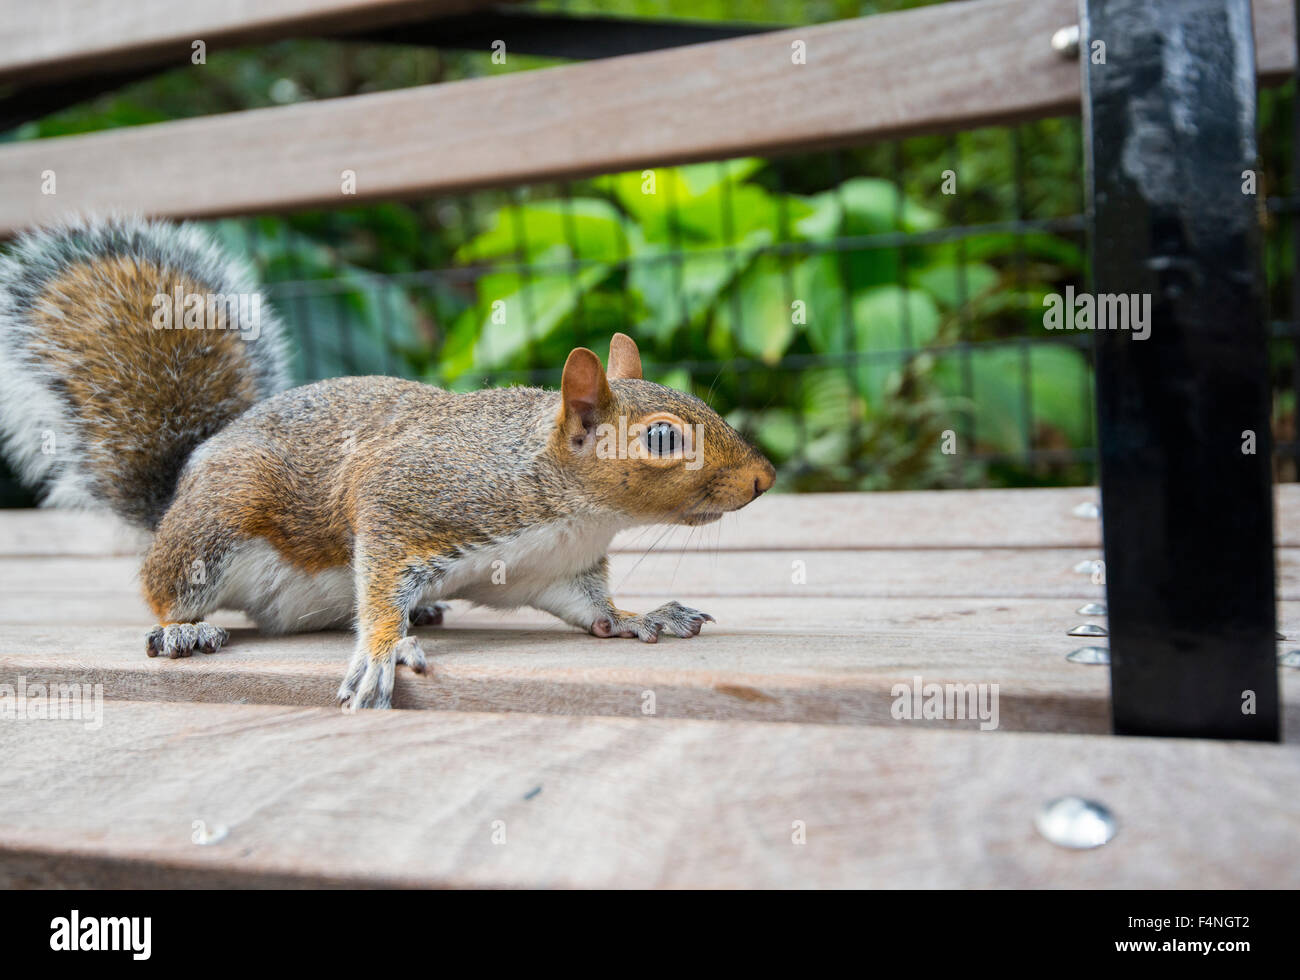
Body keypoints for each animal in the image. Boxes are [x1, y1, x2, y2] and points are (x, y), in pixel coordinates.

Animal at [0, 217, 775, 709]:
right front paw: (381, 652)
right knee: (163, 585)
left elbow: (590, 609)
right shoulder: (409, 499)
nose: (764, 479)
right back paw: (184, 627)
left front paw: (641, 616)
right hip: (214, 528)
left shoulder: (552, 569)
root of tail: (182, 480)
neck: (574, 509)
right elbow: (378, 577)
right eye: (664, 440)